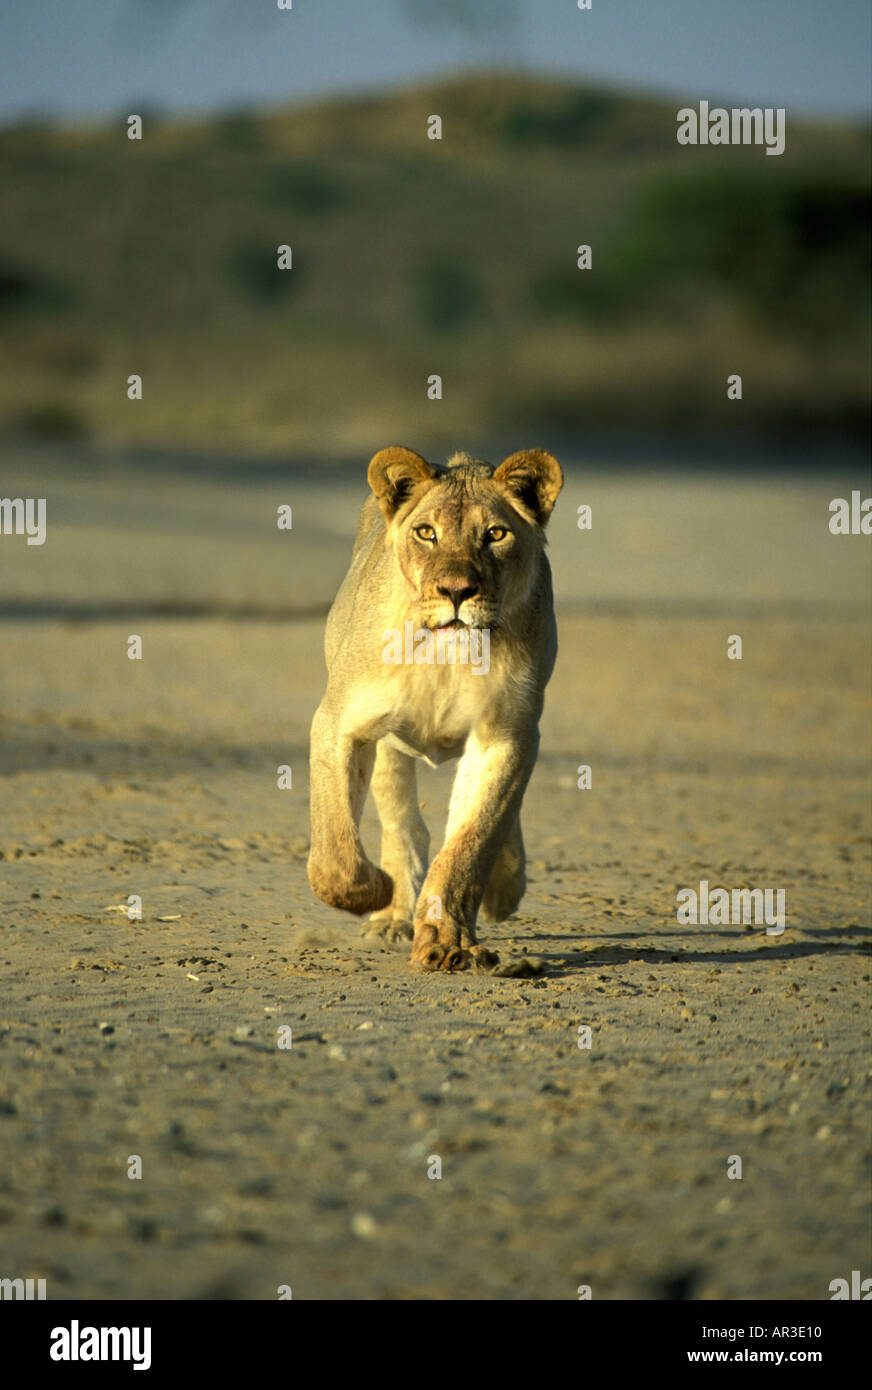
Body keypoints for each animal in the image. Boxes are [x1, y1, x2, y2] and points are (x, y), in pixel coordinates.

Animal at [307, 445, 563, 972]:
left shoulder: (507, 735)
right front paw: (376, 893)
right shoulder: (340, 724)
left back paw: (502, 886)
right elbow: (333, 853)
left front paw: (447, 941)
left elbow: (471, 841)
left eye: (496, 534)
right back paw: (392, 914)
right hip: (388, 748)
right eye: (427, 533)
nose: (457, 591)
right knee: (403, 823)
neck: (446, 658)